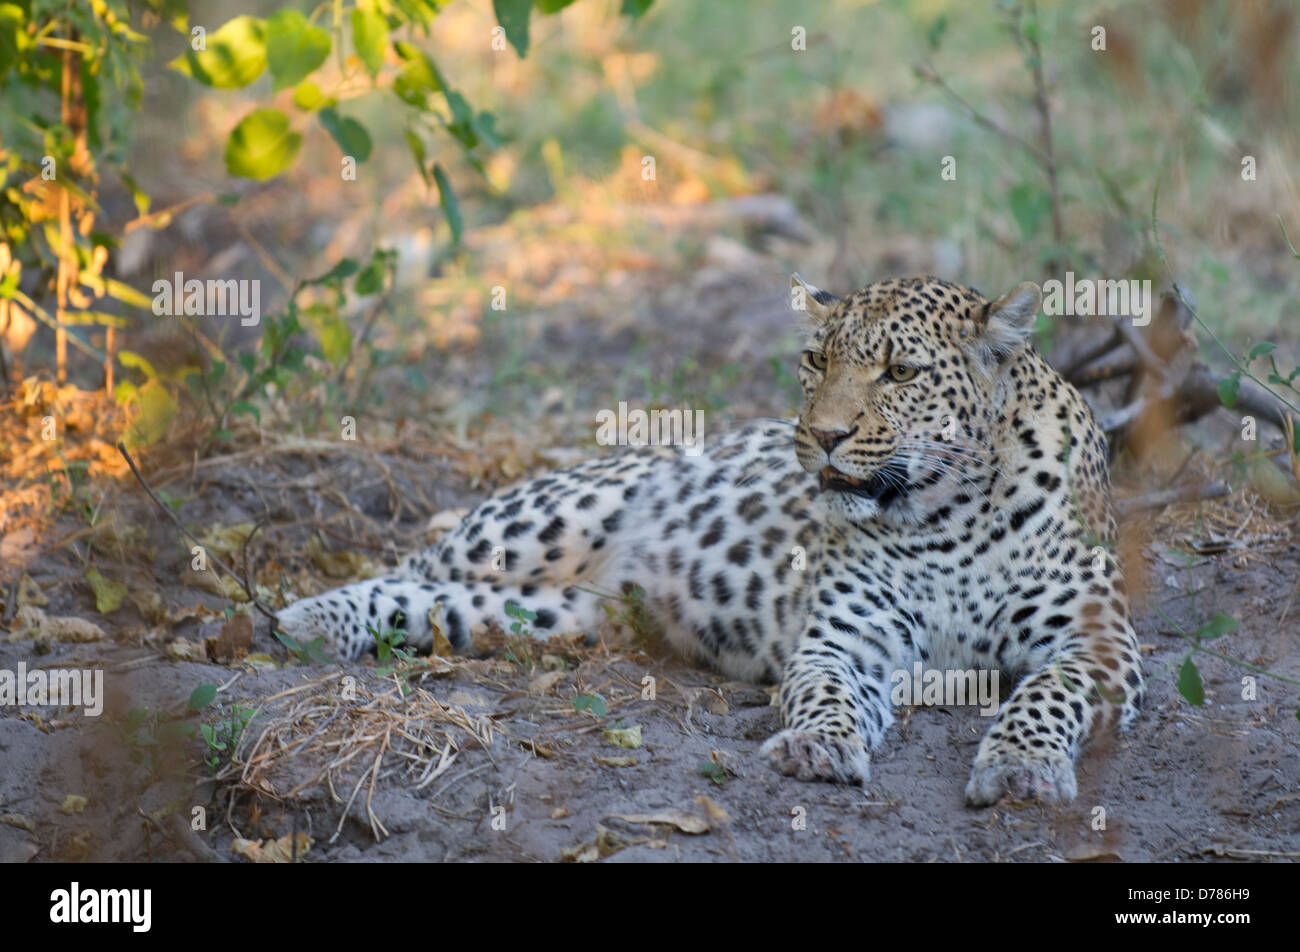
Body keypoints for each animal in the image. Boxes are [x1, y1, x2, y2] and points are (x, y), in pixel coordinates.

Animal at [276, 274, 1145, 805]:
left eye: (901, 373)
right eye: (816, 358)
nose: (824, 436)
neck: (946, 516)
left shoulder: (1098, 647)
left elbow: (1046, 695)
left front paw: (1024, 766)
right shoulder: (846, 639)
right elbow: (825, 691)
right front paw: (815, 745)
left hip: (555, 612)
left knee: (439, 600)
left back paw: (316, 627)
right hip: (538, 524)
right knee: (413, 560)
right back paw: (298, 619)